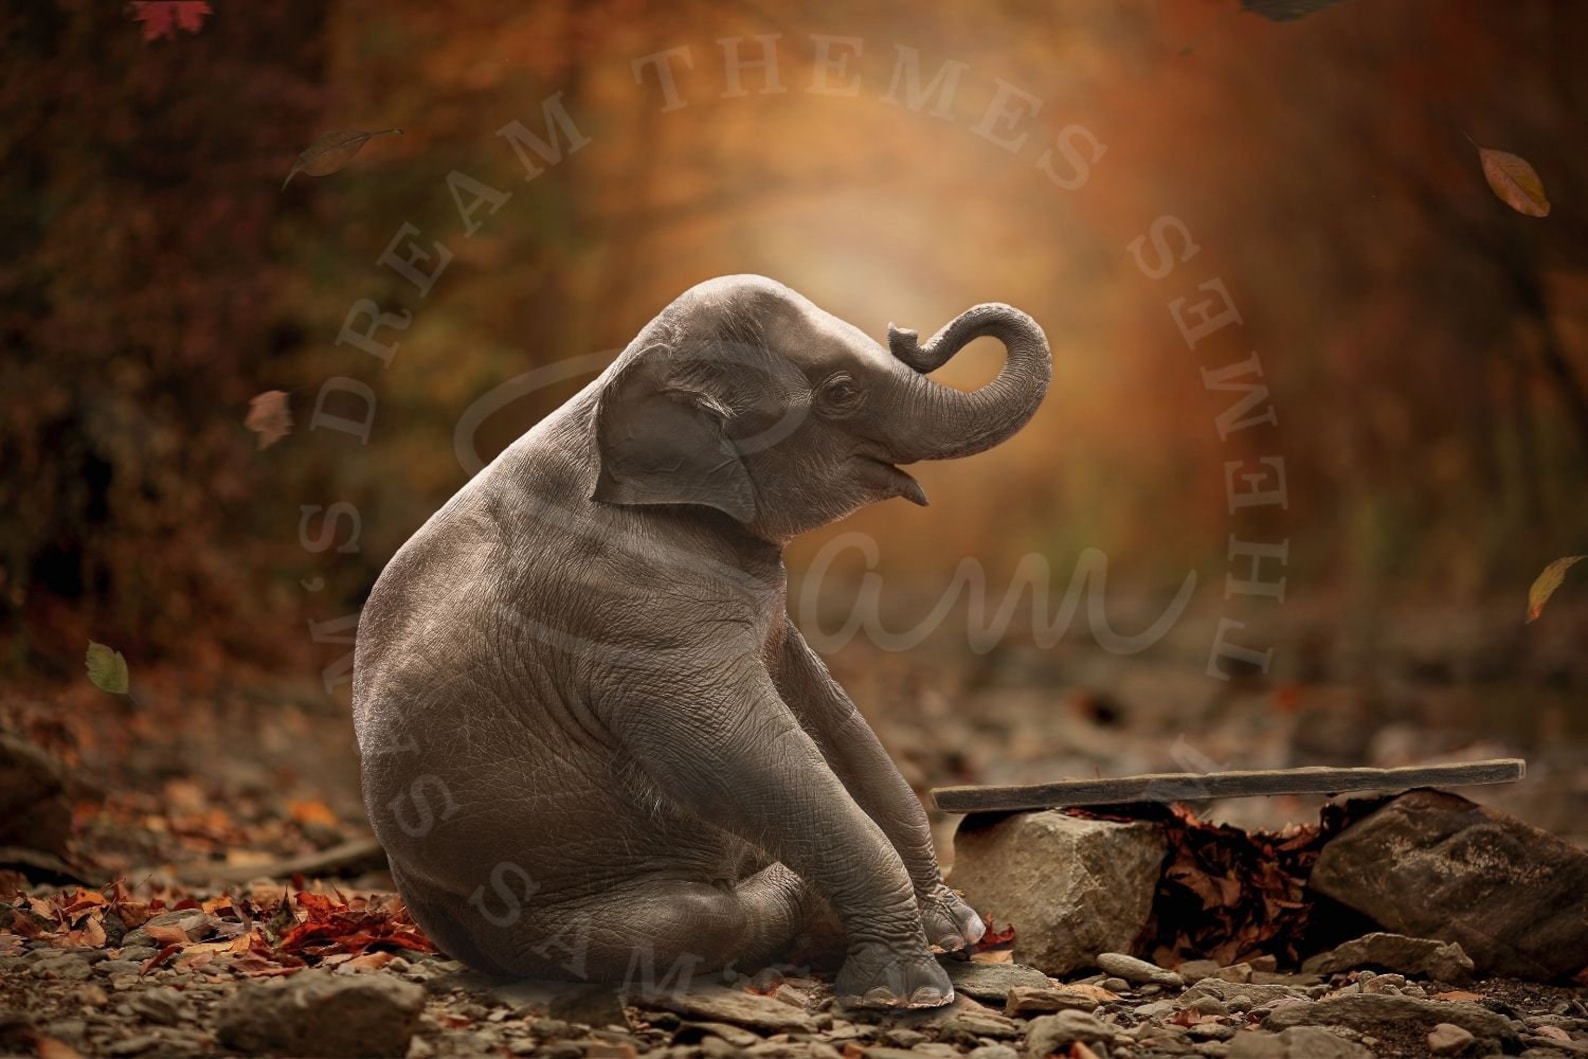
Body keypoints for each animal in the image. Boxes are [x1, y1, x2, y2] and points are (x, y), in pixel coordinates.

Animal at [352, 274, 1051, 1008]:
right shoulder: (626, 609)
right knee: (697, 916)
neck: (614, 382)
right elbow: (734, 752)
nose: (908, 332)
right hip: (541, 917)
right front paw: (906, 993)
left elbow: (833, 718)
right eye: (840, 391)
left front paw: (956, 932)